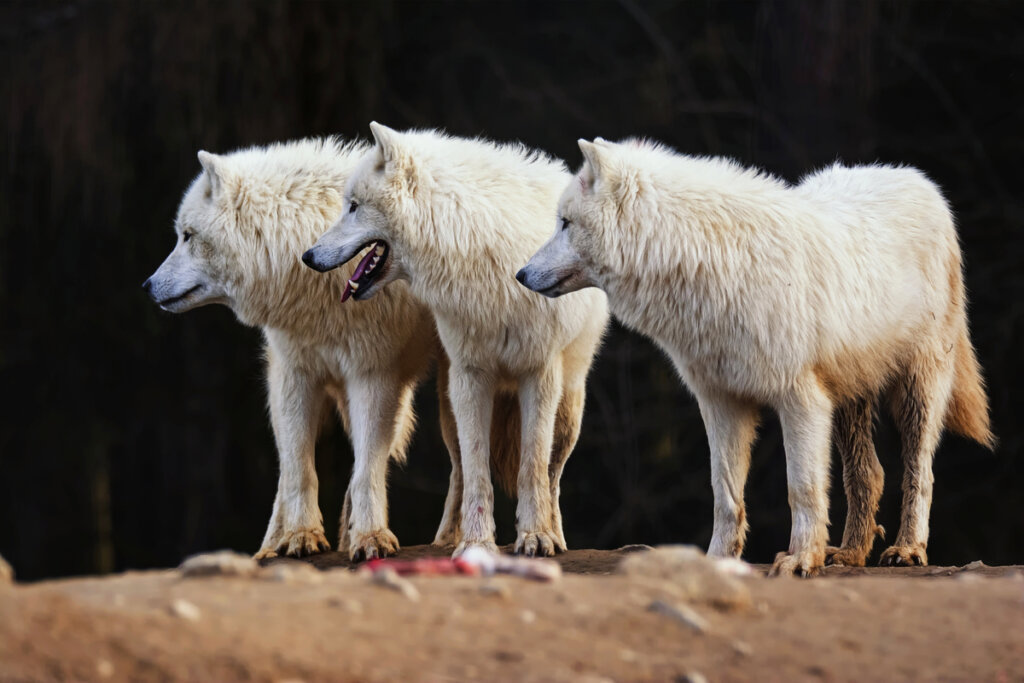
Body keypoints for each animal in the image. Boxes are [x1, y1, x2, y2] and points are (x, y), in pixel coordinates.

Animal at [143, 138, 462, 560]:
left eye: (188, 236)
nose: (147, 286)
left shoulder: (373, 376)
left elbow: (366, 471)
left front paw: (370, 538)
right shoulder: (292, 375)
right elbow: (299, 470)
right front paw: (301, 536)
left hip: (451, 397)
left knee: (463, 467)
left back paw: (451, 539)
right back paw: (273, 547)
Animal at [302, 123, 609, 557]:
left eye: (354, 207)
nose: (308, 256)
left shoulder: (539, 372)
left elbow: (531, 467)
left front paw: (535, 536)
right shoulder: (470, 374)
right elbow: (478, 470)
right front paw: (476, 544)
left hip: (568, 411)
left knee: (552, 476)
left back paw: (557, 535)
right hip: (450, 406)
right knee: (461, 470)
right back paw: (447, 538)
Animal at [518, 137, 993, 575]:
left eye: (564, 223)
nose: (520, 274)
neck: (709, 263)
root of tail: (914, 178)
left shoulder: (801, 400)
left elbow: (801, 488)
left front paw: (800, 559)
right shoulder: (721, 402)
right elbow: (725, 494)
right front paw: (717, 561)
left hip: (917, 391)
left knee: (920, 473)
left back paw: (907, 550)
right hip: (848, 399)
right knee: (869, 474)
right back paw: (850, 554)